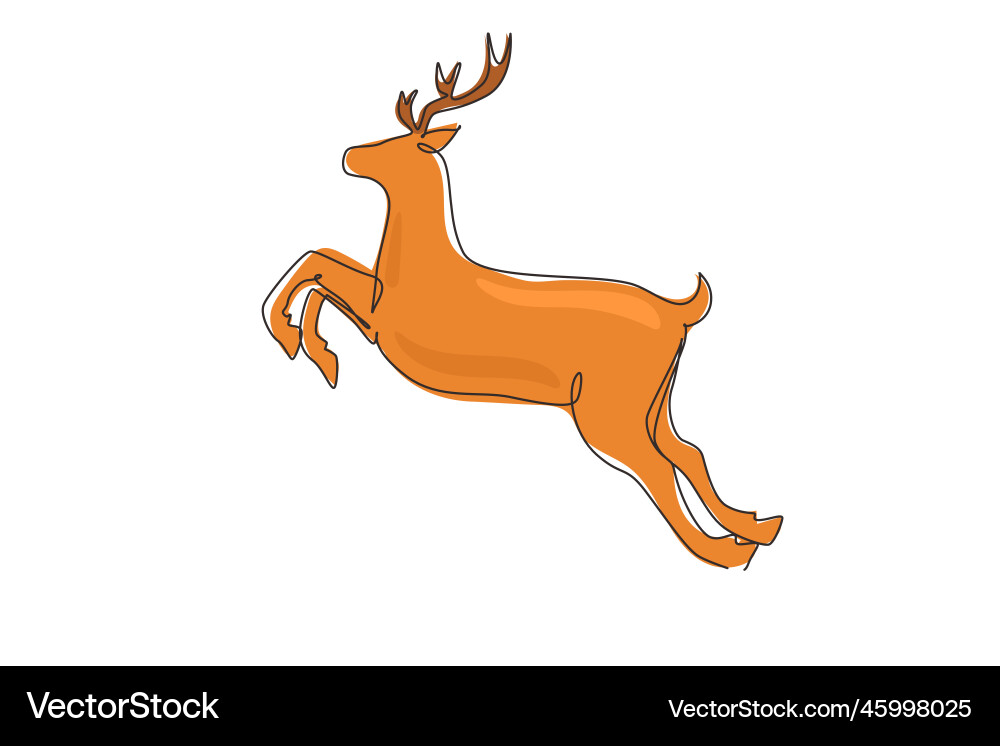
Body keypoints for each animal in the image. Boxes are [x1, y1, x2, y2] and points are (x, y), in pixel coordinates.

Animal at [262, 34, 783, 569]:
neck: (420, 265)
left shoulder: (387, 323)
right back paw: (758, 527)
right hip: (654, 400)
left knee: (657, 467)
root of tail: (681, 312)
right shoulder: (380, 312)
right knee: (687, 450)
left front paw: (301, 343)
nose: (349, 154)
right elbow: (324, 261)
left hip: (607, 407)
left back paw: (725, 552)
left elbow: (318, 263)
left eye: (402, 144)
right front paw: (317, 352)